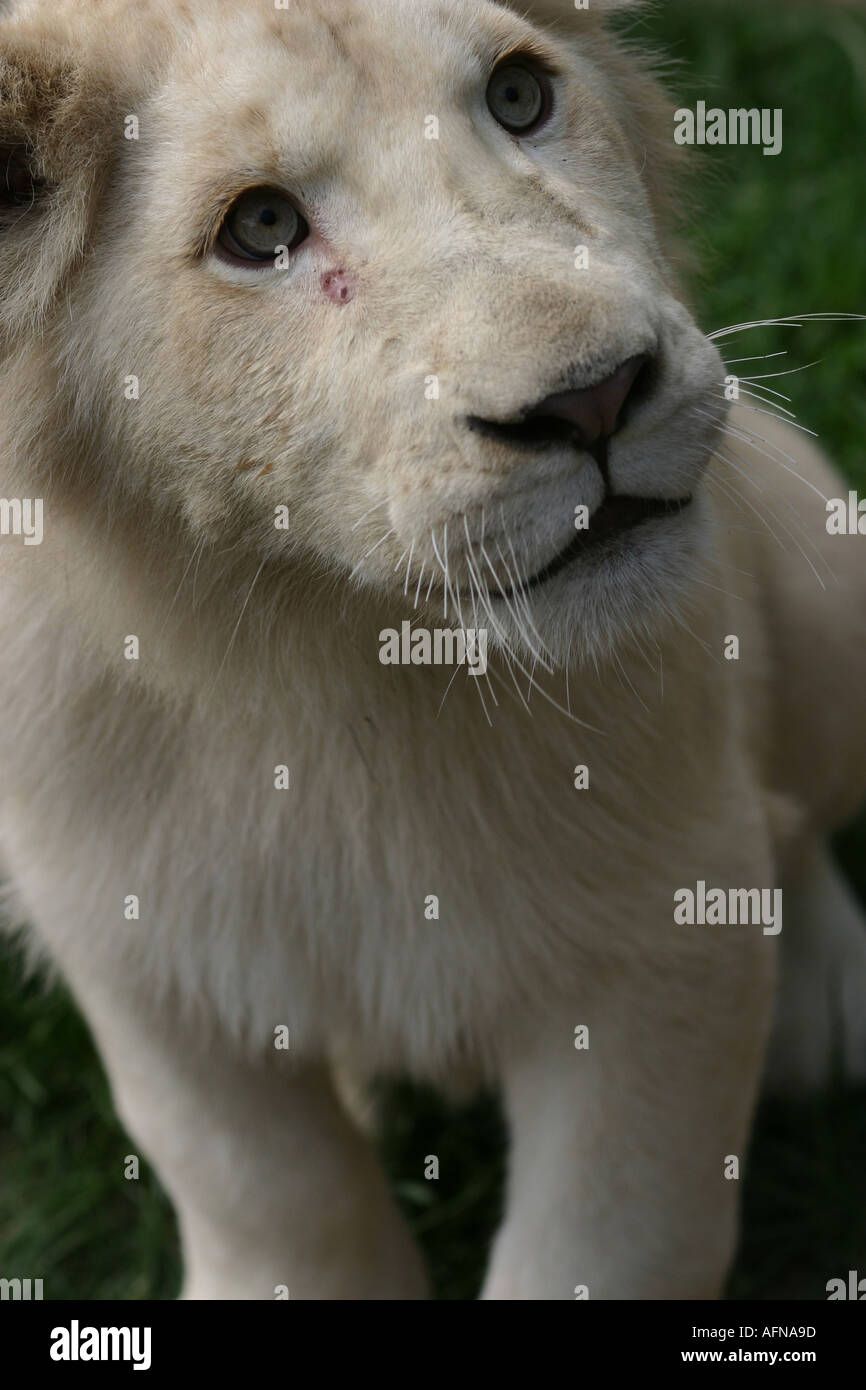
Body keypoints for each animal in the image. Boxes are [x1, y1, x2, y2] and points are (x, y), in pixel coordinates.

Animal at [1, 0, 864, 1300]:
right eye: (261, 227)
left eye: (518, 96)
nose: (595, 398)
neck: (339, 672)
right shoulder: (143, 970)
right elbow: (269, 1196)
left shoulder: (662, 934)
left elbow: (611, 1237)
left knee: (795, 815)